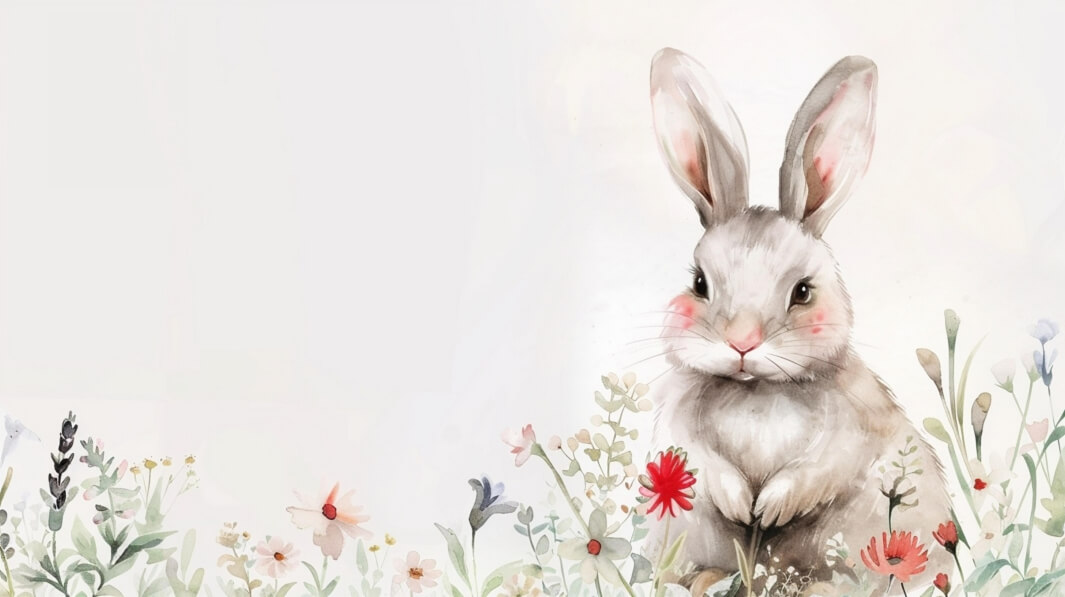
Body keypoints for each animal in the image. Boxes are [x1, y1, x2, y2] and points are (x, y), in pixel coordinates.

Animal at [642, 48, 953, 594]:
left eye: (803, 292)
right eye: (700, 284)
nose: (742, 343)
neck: (757, 391)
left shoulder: (852, 430)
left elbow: (821, 467)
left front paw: (768, 508)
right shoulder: (679, 425)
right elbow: (701, 460)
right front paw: (741, 504)